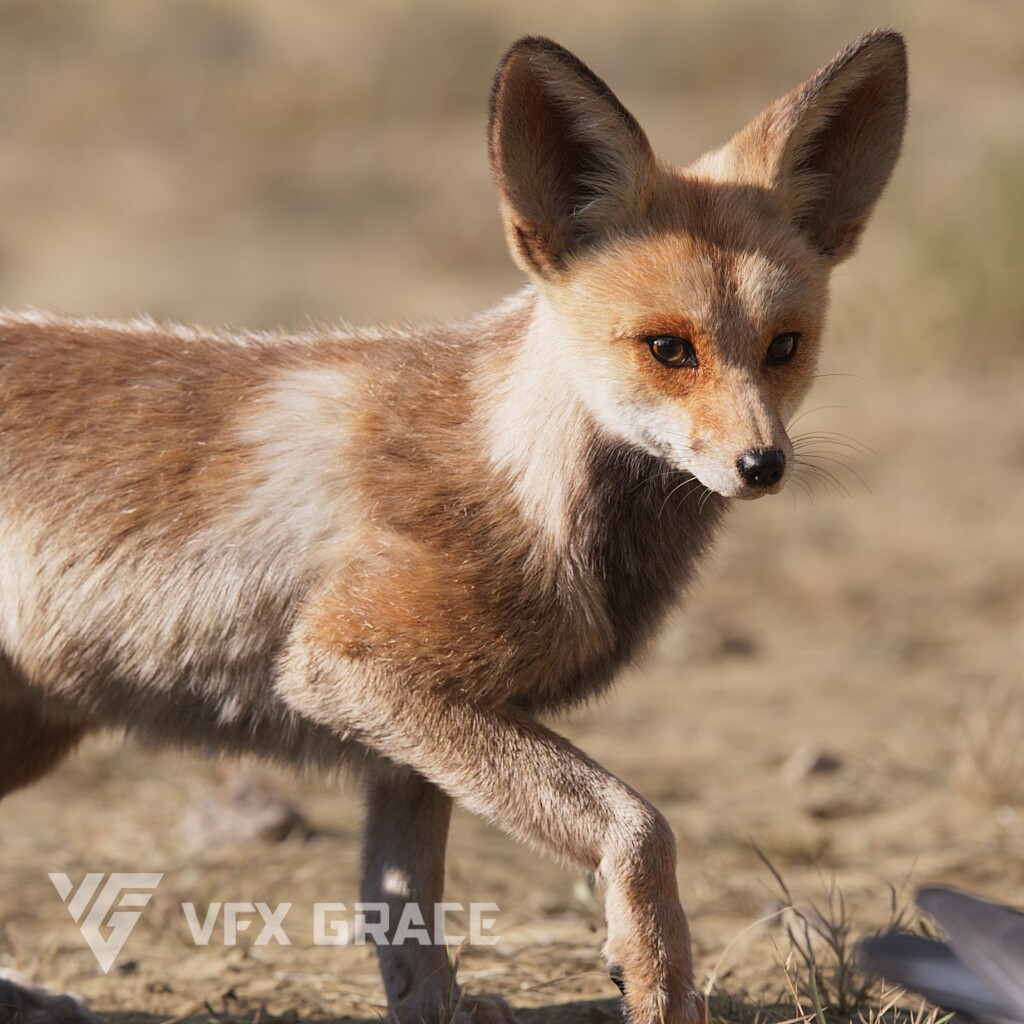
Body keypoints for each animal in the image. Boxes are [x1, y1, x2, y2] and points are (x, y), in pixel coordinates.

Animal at [0, 30, 906, 1024]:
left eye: (785, 348)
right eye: (670, 349)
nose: (763, 466)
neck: (522, 483)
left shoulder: (413, 730)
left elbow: (406, 916)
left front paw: (439, 1004)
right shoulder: (350, 662)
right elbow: (639, 828)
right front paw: (656, 983)